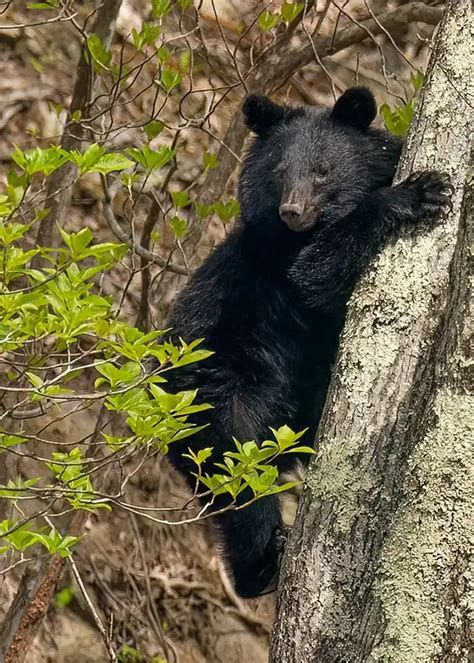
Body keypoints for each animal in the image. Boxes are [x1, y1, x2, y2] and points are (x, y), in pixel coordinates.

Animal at [164, 87, 451, 598]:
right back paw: (261, 564)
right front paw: (416, 193)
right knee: (240, 488)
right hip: (217, 406)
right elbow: (313, 275)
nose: (292, 211)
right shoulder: (278, 261)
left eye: (322, 170)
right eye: (279, 172)